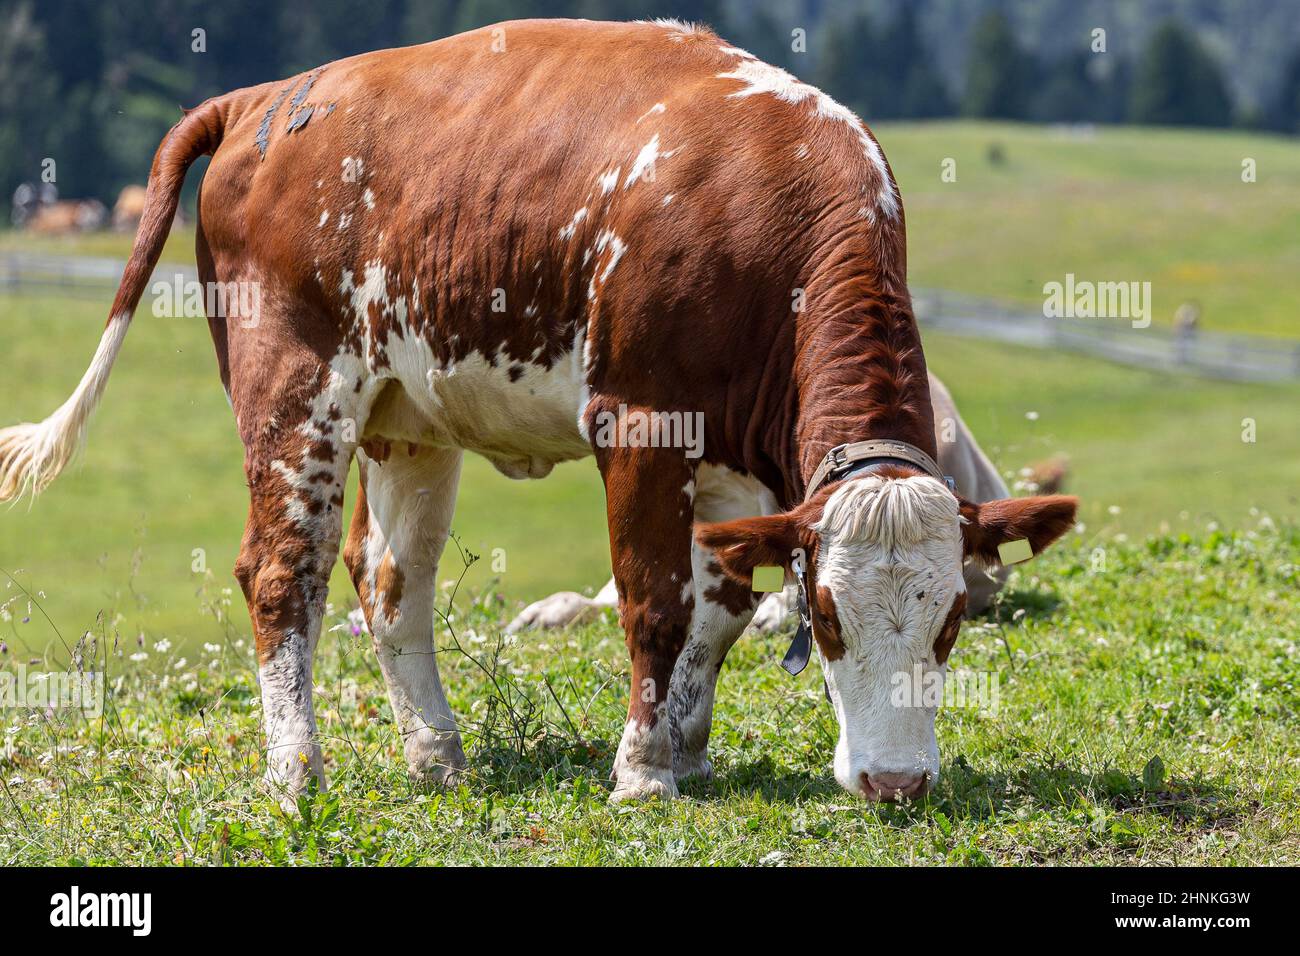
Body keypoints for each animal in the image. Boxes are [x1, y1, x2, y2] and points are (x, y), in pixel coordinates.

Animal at [0, 19, 1077, 806]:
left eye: (950, 616)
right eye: (825, 616)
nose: (897, 781)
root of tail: (263, 99)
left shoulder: (738, 466)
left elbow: (720, 605)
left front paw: (686, 746)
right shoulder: (641, 421)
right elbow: (655, 600)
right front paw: (641, 772)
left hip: (406, 416)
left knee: (389, 579)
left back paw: (435, 751)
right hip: (294, 392)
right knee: (280, 572)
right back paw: (296, 769)